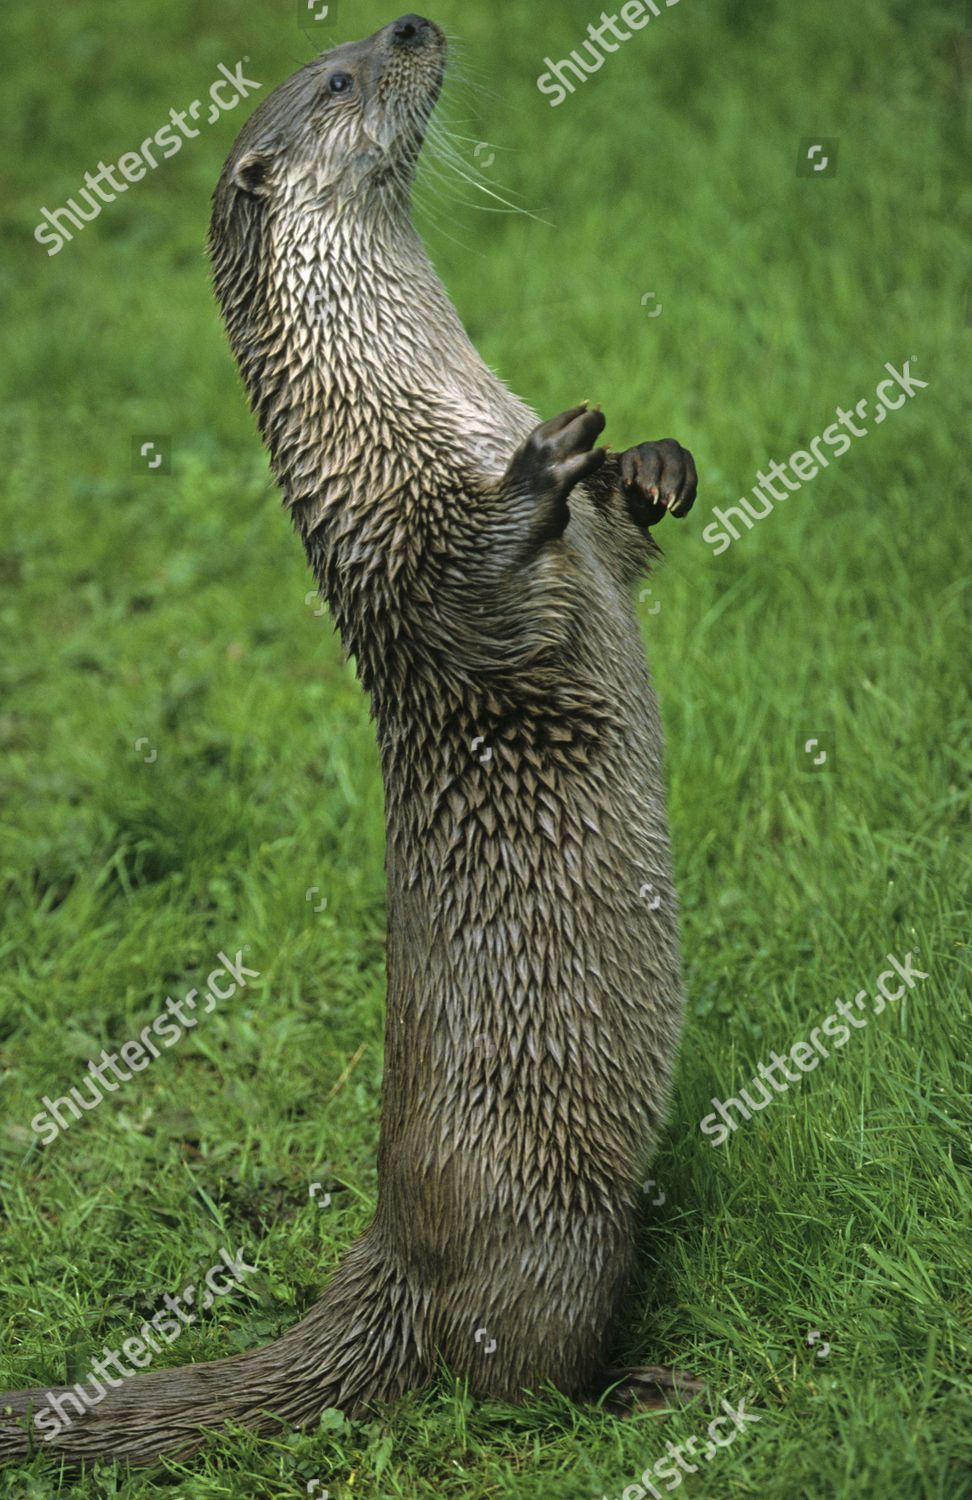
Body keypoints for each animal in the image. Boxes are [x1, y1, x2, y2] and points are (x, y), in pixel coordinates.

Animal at [0, 14, 700, 1467]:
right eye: (339, 77)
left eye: (359, 37)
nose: (416, 24)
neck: (418, 407)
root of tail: (387, 1262)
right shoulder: (394, 554)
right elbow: (473, 600)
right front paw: (540, 475)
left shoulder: (577, 552)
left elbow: (623, 543)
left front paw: (653, 464)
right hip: (544, 1228)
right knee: (512, 1380)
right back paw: (636, 1391)